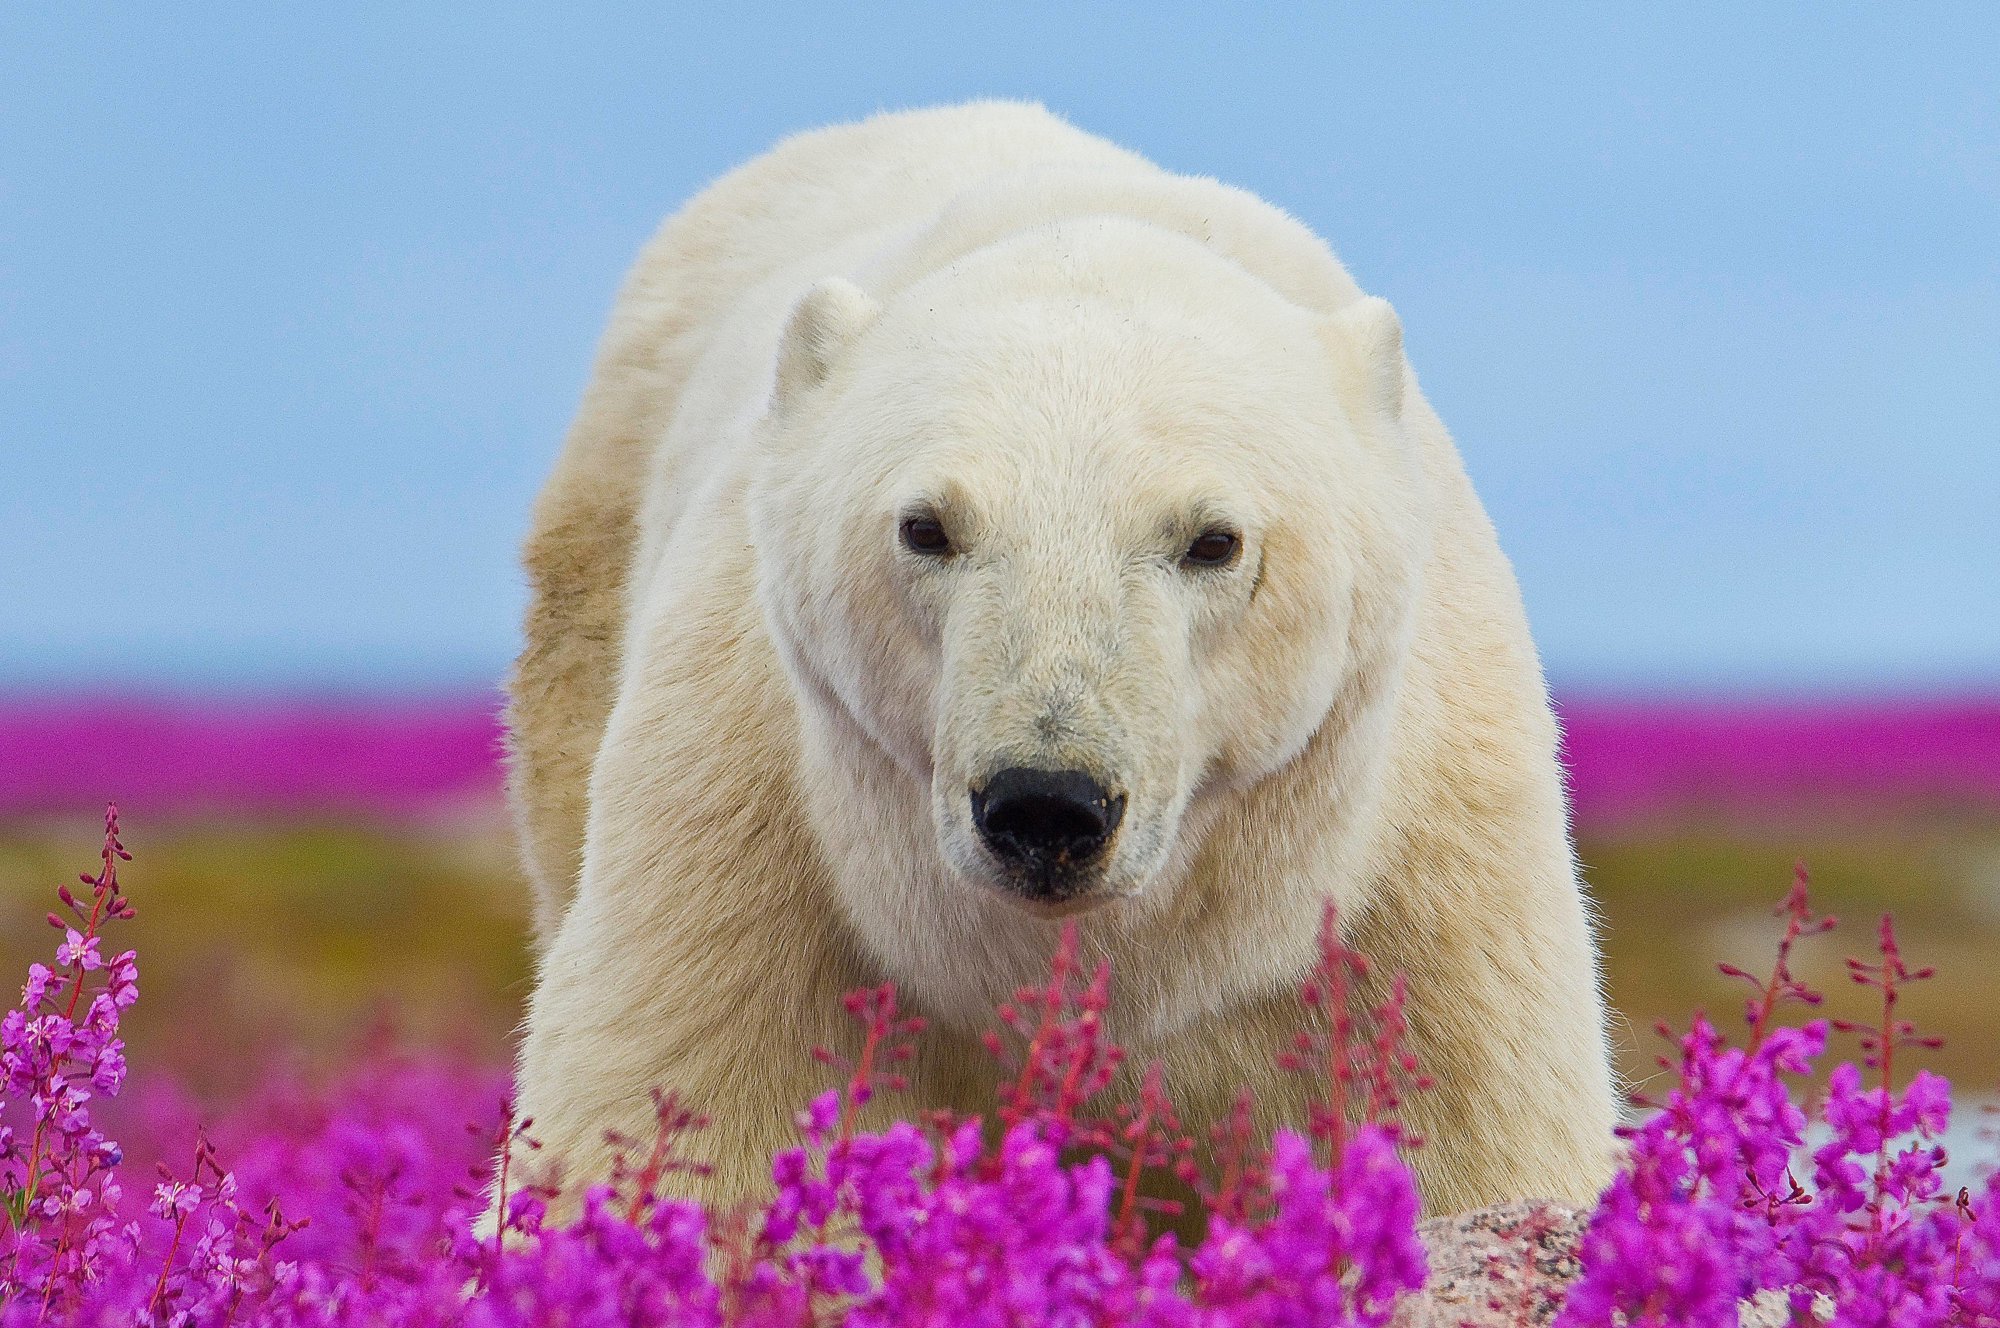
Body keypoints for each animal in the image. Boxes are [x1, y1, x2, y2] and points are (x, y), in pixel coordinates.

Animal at [505, 100, 1619, 1219]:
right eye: (926, 526)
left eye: (1213, 539)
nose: (1046, 804)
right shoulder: (754, 840)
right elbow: (688, 1113)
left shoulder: (1416, 892)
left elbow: (1480, 1142)